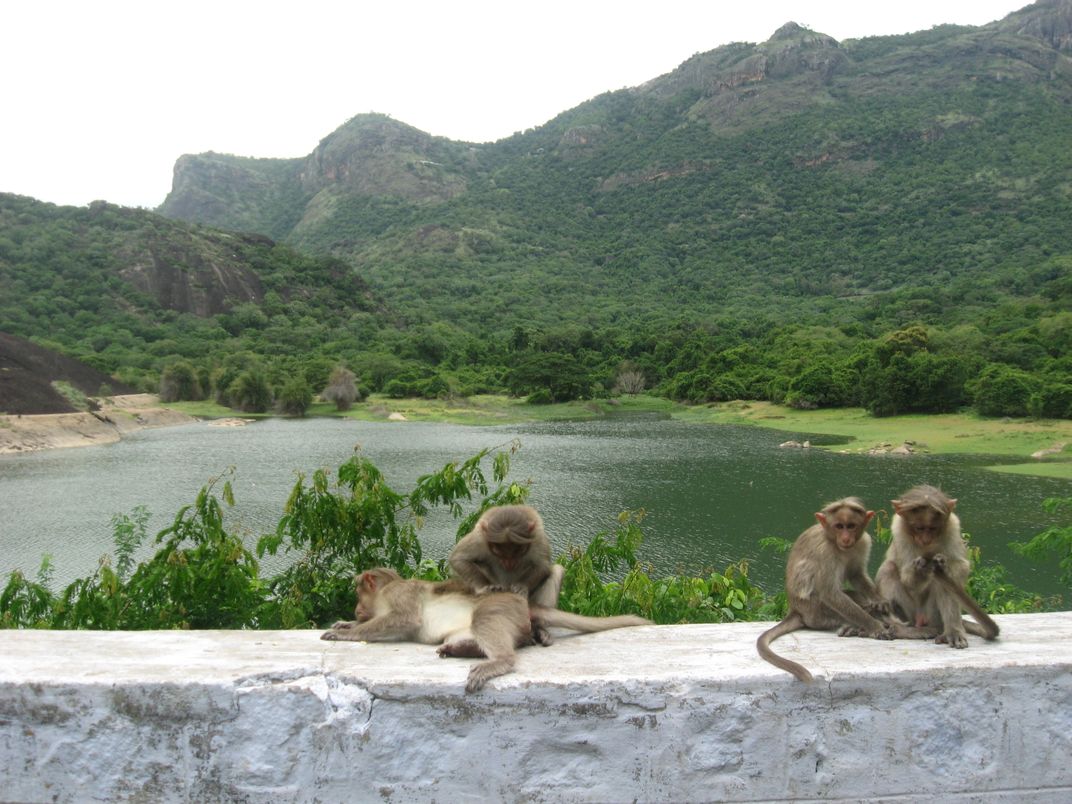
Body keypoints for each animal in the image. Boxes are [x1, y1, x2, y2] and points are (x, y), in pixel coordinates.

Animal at [322, 567, 652, 692]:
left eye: (357, 593)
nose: (356, 609)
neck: (387, 590)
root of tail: (522, 602)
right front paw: (345, 624)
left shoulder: (400, 596)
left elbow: (405, 620)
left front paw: (346, 632)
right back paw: (459, 648)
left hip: (501, 607)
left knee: (485, 620)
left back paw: (499, 661)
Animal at [449, 504, 566, 645]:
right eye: (498, 549)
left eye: (518, 549)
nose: (509, 562)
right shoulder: (479, 537)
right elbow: (459, 558)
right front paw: (484, 587)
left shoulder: (537, 536)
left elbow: (543, 565)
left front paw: (521, 587)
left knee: (556, 571)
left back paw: (539, 629)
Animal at [757, 497, 935, 683]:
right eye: (839, 526)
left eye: (851, 526)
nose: (845, 537)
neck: (834, 542)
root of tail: (796, 610)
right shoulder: (826, 552)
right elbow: (830, 593)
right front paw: (876, 626)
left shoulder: (863, 542)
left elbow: (856, 574)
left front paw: (879, 601)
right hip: (817, 612)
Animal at [876, 485, 999, 649]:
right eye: (919, 528)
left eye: (933, 528)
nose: (926, 540)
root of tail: (920, 618)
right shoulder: (898, 530)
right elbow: (907, 575)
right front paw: (921, 570)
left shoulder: (953, 526)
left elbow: (961, 566)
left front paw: (943, 564)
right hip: (911, 611)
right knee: (888, 568)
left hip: (931, 614)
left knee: (943, 583)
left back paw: (949, 631)